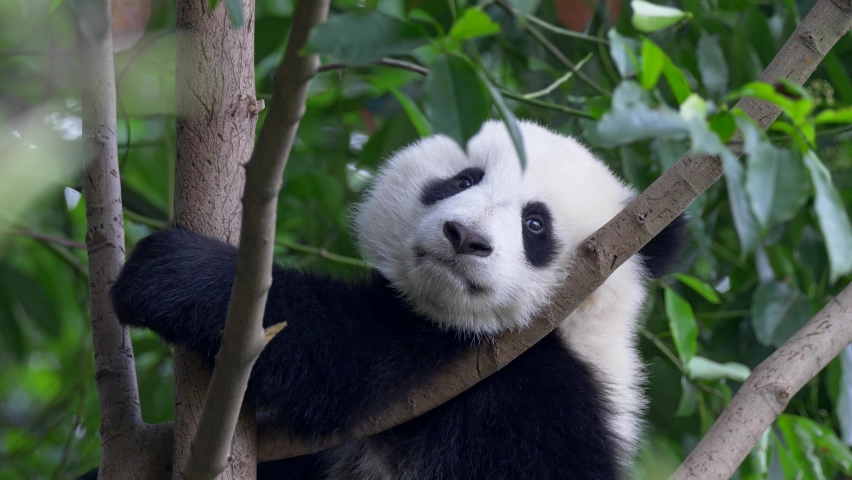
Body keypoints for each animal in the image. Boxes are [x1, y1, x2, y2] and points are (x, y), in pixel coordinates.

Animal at [111, 120, 685, 479]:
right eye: (464, 179)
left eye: (535, 224)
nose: (464, 237)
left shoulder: (520, 388)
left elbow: (347, 355)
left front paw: (173, 273)